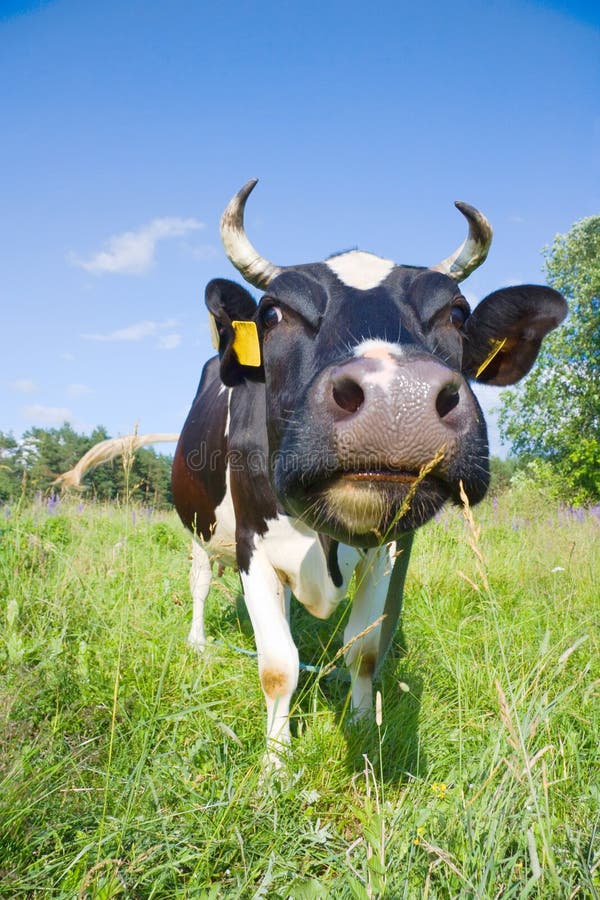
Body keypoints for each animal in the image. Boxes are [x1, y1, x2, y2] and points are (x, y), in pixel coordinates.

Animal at [170, 179, 567, 767]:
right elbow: (277, 665)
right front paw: (275, 761)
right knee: (199, 579)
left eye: (457, 314)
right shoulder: (252, 544)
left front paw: (359, 726)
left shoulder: (390, 550)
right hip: (198, 525)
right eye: (272, 314)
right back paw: (198, 643)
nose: (397, 398)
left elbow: (363, 648)